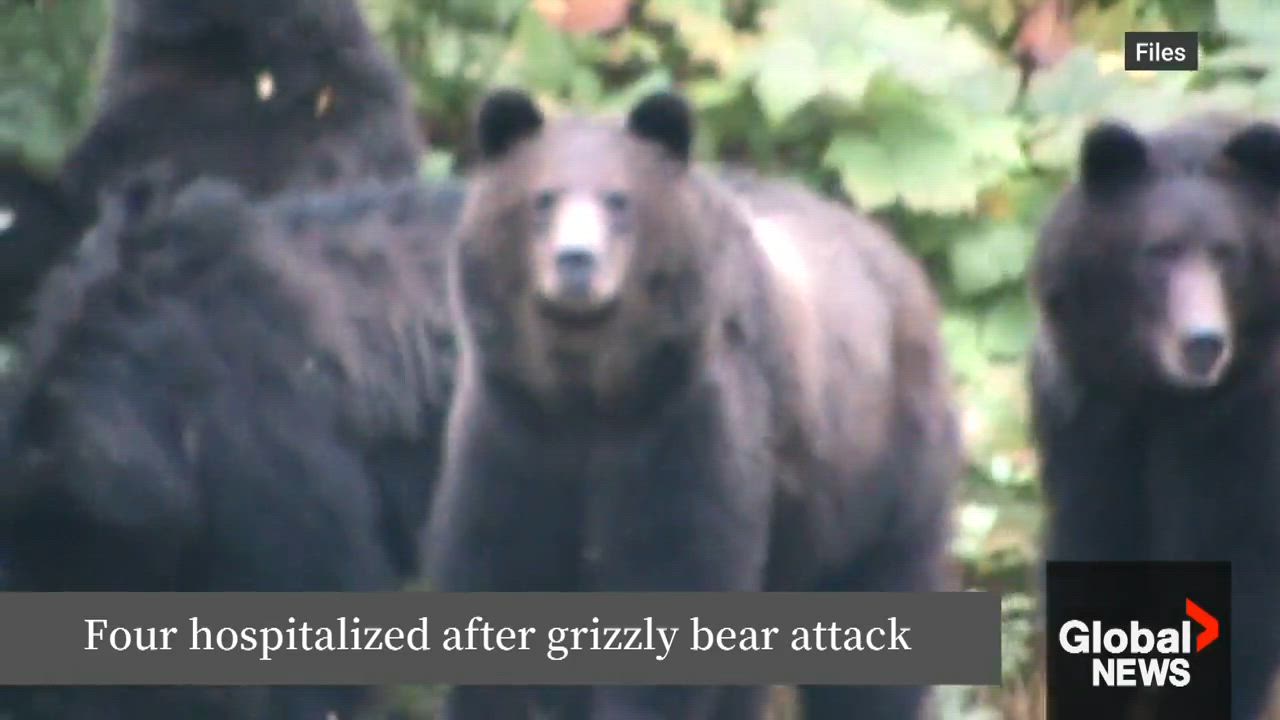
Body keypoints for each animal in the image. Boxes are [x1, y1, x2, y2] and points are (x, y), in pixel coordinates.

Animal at [426, 89, 961, 720]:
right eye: (542, 198)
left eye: (618, 200)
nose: (576, 260)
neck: (588, 391)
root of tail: (902, 262)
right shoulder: (514, 426)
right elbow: (498, 563)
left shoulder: (685, 421)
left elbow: (675, 570)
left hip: (883, 474)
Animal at [1030, 116, 1280, 720]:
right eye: (1159, 251)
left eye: (1227, 253)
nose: (1203, 344)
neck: (1161, 399)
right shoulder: (1088, 420)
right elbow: (1094, 565)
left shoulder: (1243, 437)